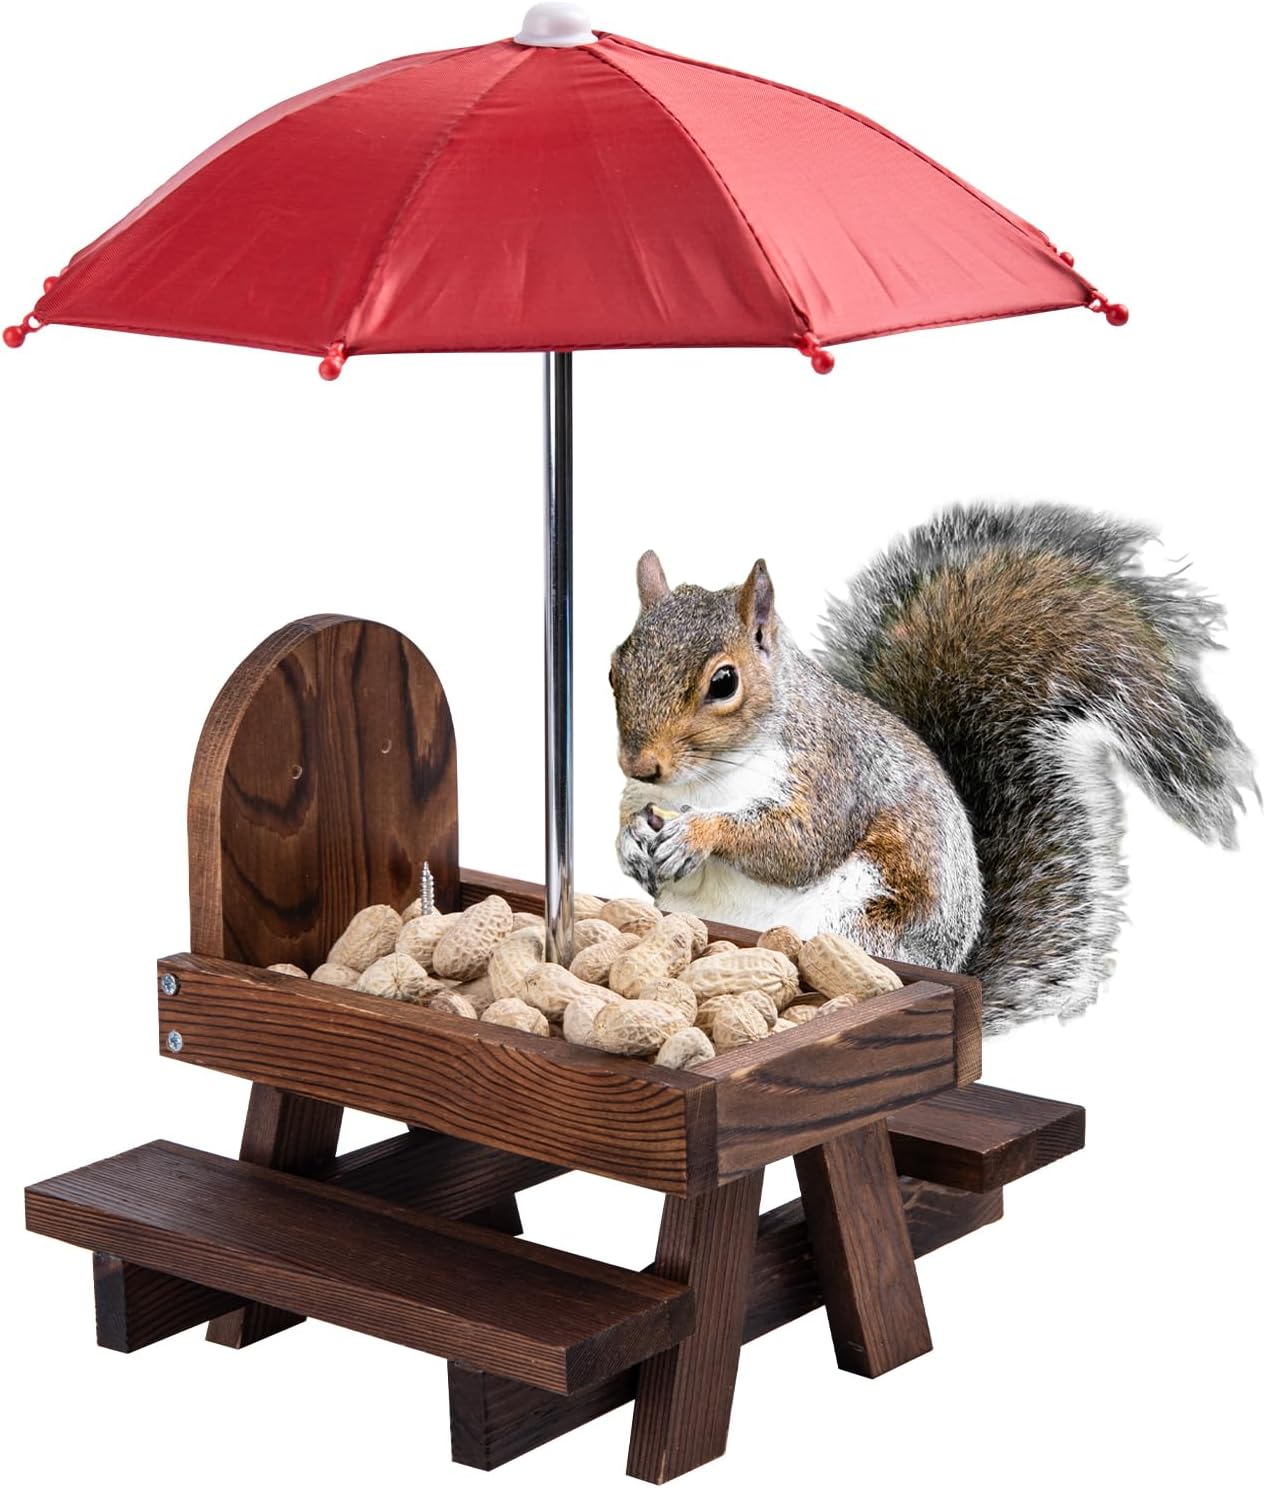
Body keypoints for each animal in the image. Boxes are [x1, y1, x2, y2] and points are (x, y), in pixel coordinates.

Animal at [611, 502, 1255, 1033]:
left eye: (724, 682)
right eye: (615, 667)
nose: (641, 764)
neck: (706, 780)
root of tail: (959, 979)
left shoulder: (834, 771)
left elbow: (799, 844)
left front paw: (698, 833)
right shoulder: (641, 793)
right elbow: (632, 819)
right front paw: (629, 843)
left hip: (858, 926)